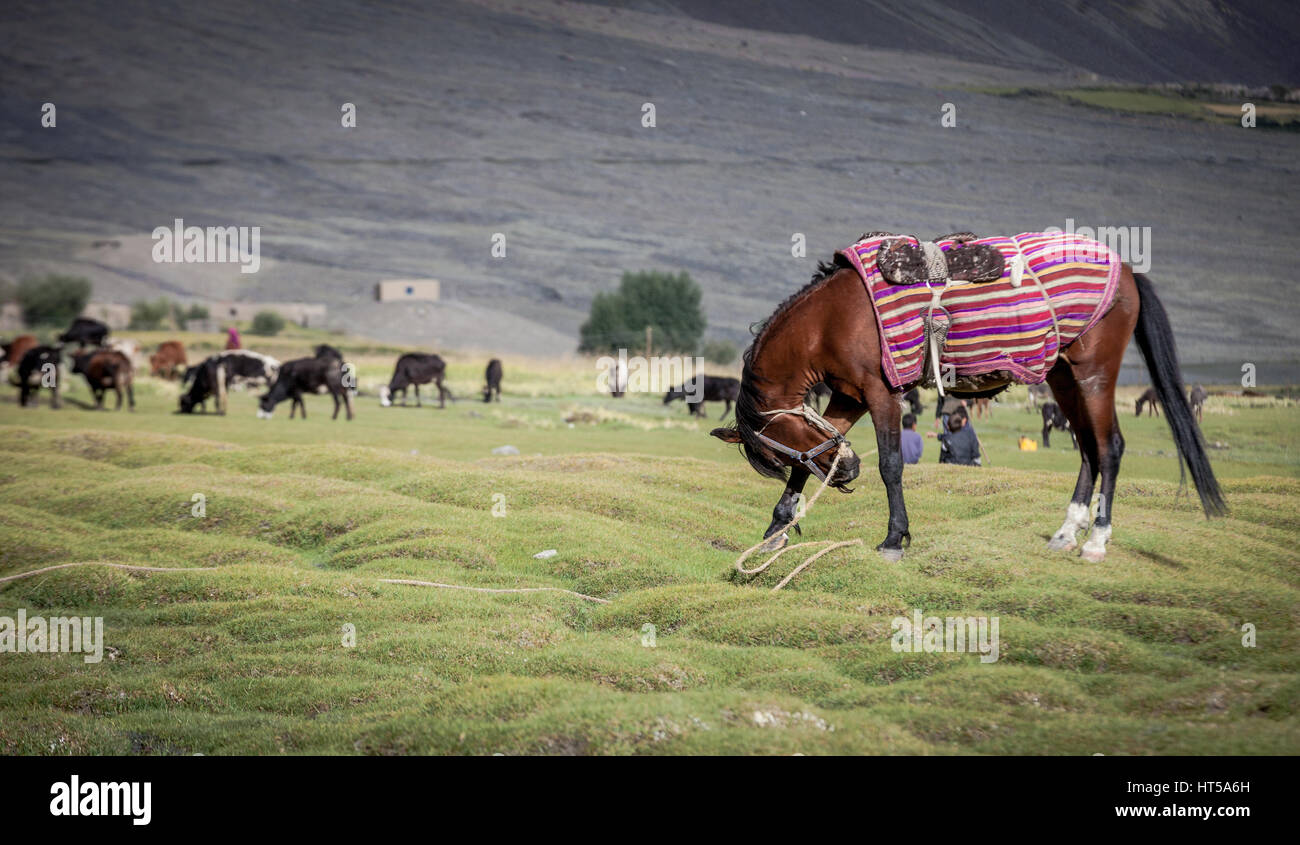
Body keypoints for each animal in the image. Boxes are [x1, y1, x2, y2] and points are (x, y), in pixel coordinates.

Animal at [711, 242, 1225, 564]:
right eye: (777, 451)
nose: (850, 474)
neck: (832, 319)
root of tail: (1127, 271)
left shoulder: (882, 392)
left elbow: (891, 465)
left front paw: (894, 538)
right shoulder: (849, 395)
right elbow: (816, 457)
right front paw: (775, 532)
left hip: (1093, 373)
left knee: (1111, 447)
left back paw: (1096, 540)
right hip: (1063, 376)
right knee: (1088, 450)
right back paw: (1066, 533)